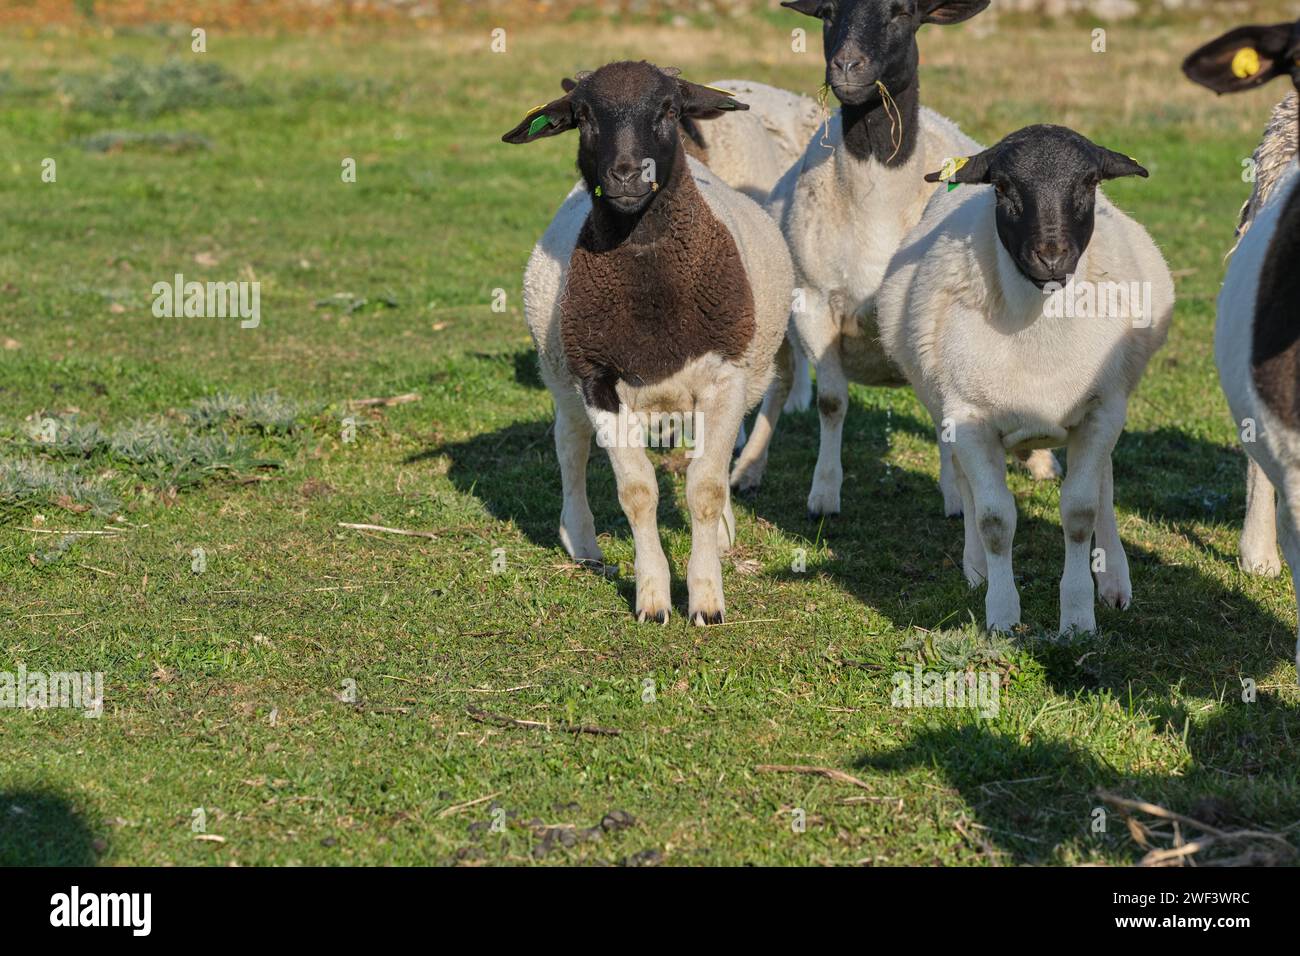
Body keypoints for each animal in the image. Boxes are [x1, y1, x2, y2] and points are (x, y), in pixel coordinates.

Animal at [503, 61, 795, 626]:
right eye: (583, 115)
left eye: (669, 109)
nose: (625, 174)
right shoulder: (597, 381)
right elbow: (637, 491)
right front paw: (654, 596)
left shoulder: (727, 377)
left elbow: (705, 486)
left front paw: (706, 598)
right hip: (561, 375)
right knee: (570, 445)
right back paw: (583, 542)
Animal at [729, 0, 1061, 517]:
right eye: (827, 13)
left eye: (902, 13)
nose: (847, 66)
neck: (877, 199)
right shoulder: (813, 302)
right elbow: (830, 401)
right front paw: (824, 493)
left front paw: (955, 494)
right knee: (779, 385)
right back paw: (749, 469)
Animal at [876, 124, 1173, 634]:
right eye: (1002, 186)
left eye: (1090, 181)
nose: (1051, 257)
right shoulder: (968, 418)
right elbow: (995, 520)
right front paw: (1001, 614)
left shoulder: (1101, 411)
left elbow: (1081, 509)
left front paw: (1078, 616)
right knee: (968, 487)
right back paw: (976, 567)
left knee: (1105, 483)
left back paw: (1114, 578)